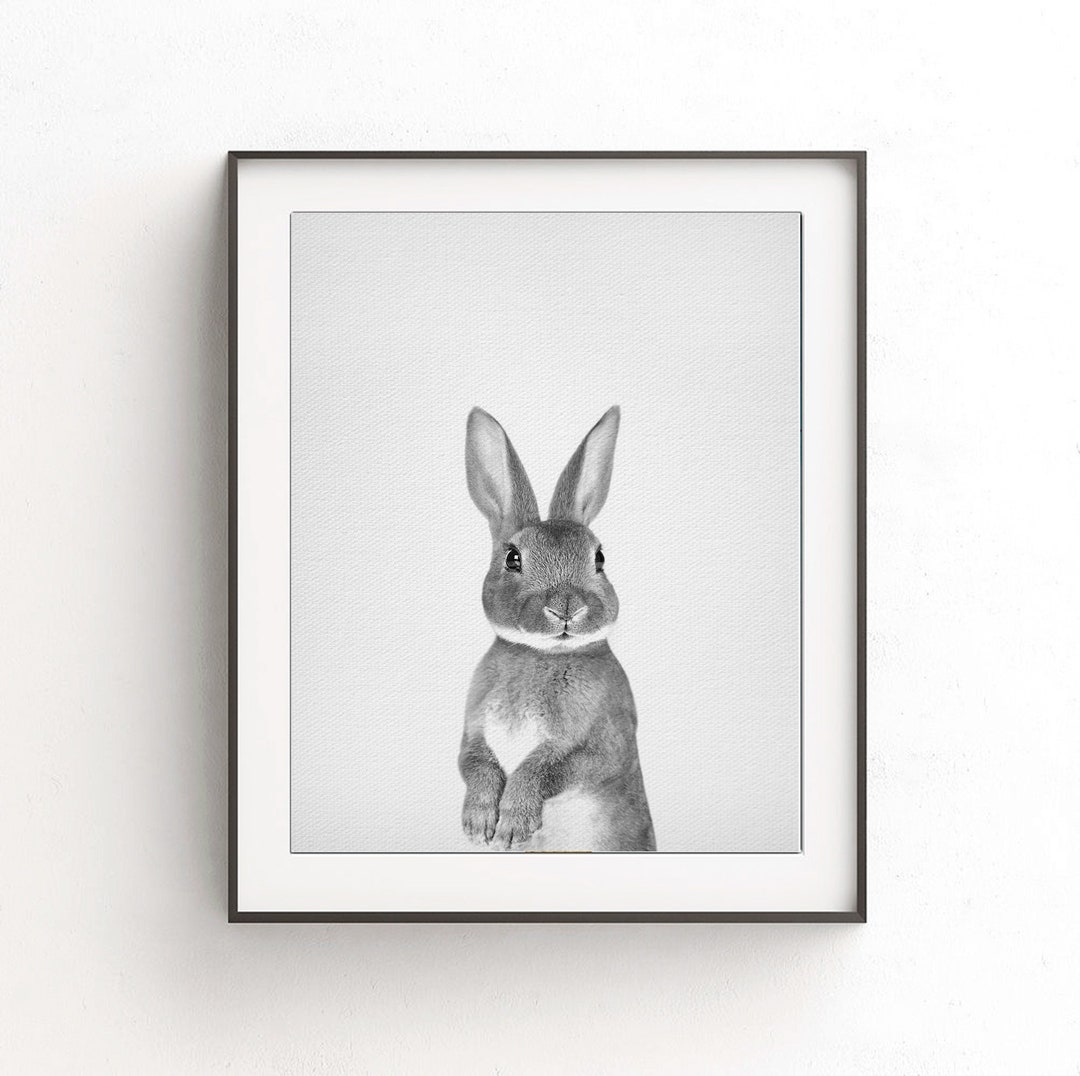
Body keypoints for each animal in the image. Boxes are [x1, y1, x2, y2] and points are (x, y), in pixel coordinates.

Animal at [459, 405, 656, 852]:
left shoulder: (603, 744)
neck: (540, 653)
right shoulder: (473, 731)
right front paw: (479, 824)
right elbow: (474, 763)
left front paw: (512, 824)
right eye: (512, 558)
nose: (566, 606)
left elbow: (548, 769)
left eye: (599, 559)